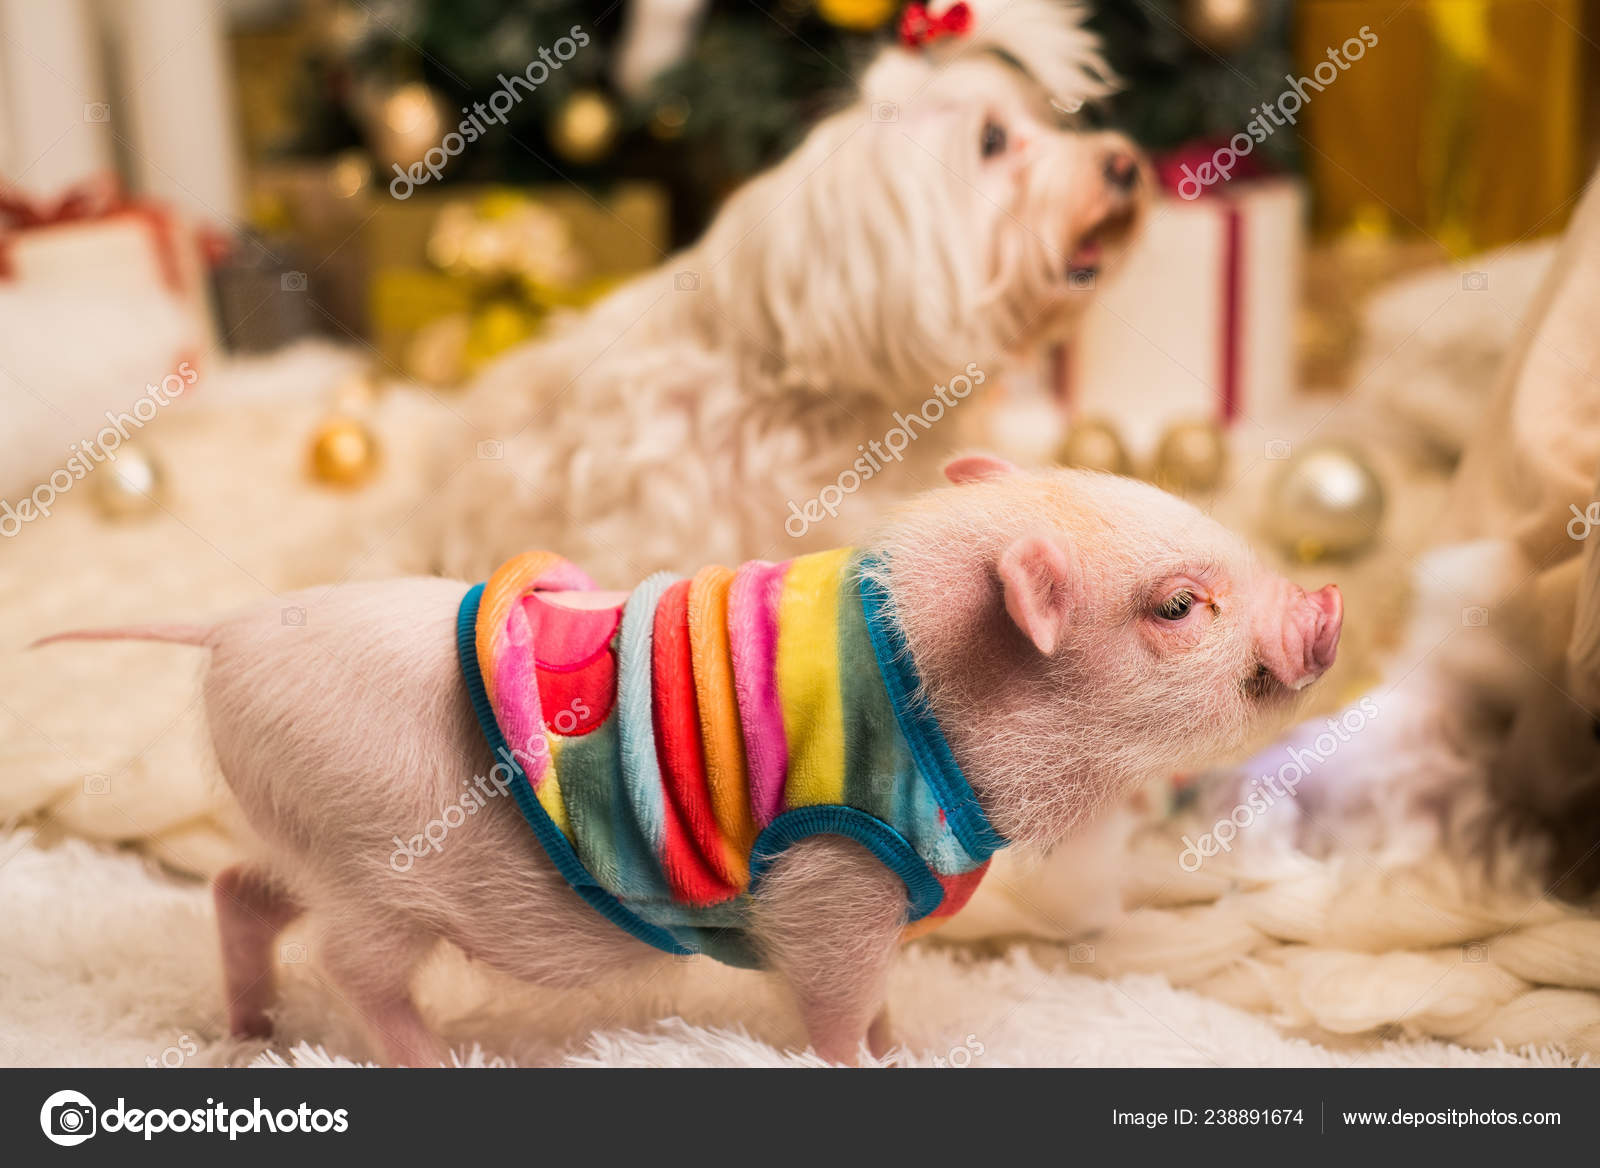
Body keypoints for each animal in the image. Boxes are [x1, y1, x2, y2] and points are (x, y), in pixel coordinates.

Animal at [34, 457, 1341, 1065]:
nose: (1325, 605)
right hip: (378, 880)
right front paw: (862, 1061)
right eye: (1177, 606)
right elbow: (832, 999)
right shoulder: (828, 878)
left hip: (292, 837)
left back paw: (250, 1028)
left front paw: (905, 1045)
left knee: (234, 889)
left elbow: (881, 998)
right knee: (357, 970)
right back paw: (431, 1055)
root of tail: (225, 628)